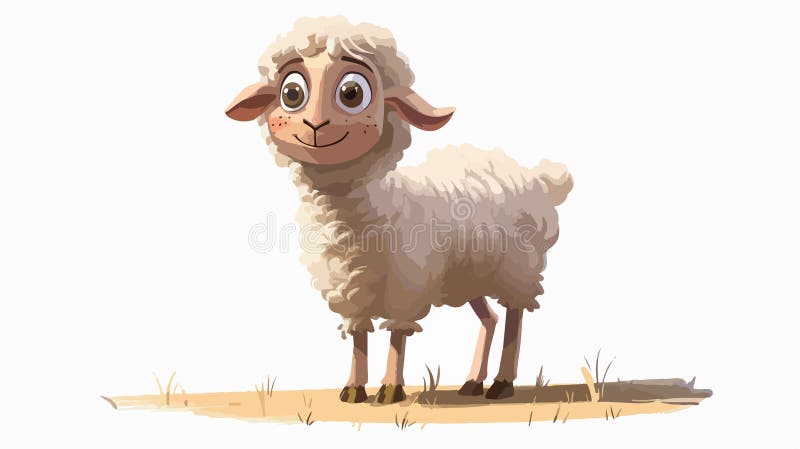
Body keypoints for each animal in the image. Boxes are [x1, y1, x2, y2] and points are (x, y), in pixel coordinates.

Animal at [225, 16, 573, 404]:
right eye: (292, 93)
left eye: (352, 92)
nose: (315, 126)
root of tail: (539, 177)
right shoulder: (352, 290)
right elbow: (359, 336)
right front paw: (354, 389)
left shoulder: (407, 285)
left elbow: (397, 334)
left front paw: (391, 389)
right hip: (469, 274)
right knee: (490, 318)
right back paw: (472, 382)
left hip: (516, 267)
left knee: (514, 315)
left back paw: (502, 383)